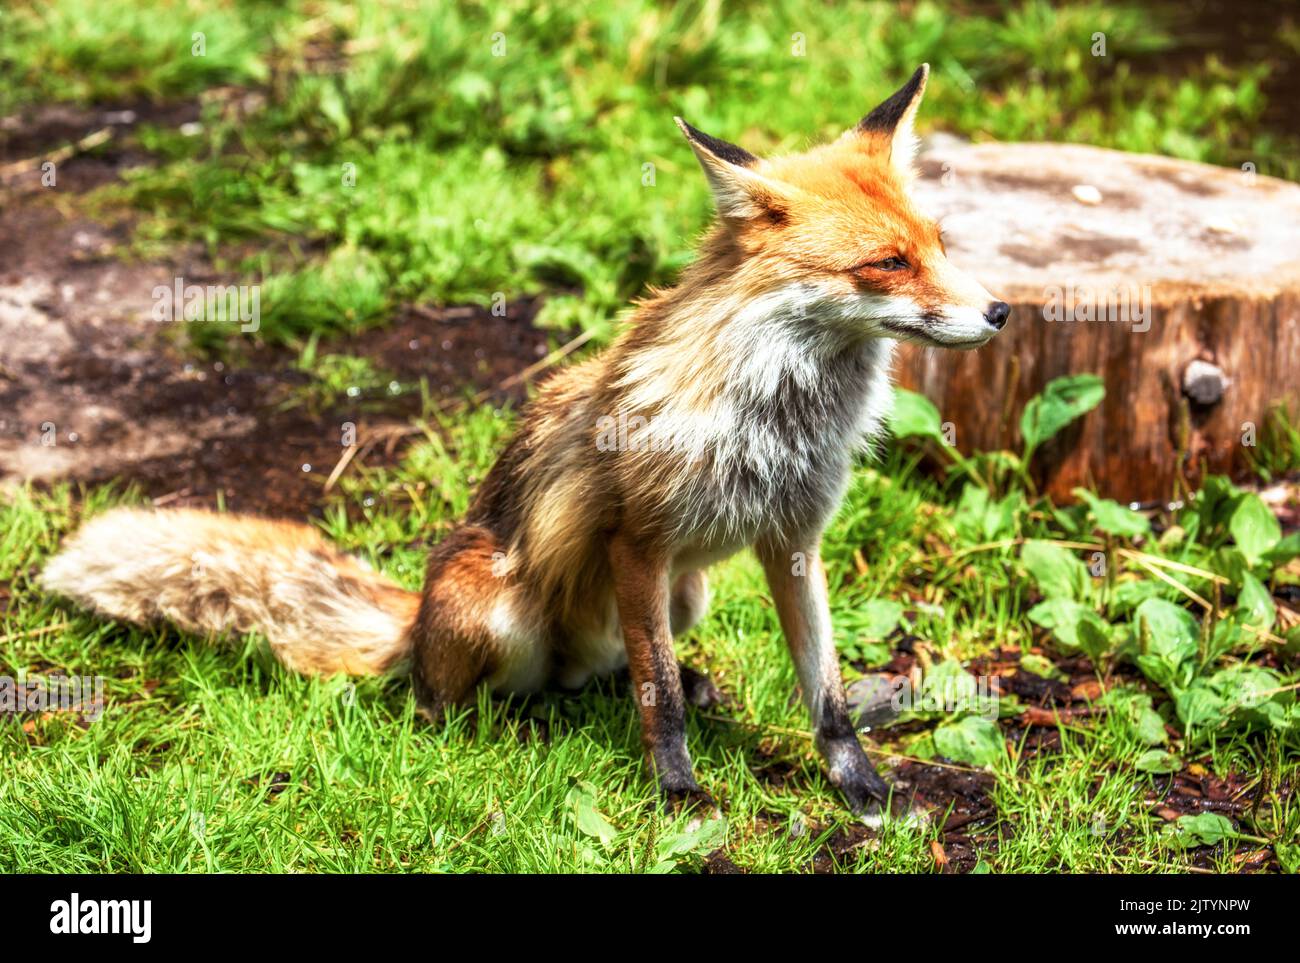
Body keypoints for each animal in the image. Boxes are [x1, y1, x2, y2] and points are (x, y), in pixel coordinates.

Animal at [41, 65, 1008, 812]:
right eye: (885, 263)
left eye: (937, 243)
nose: (999, 311)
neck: (776, 415)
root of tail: (415, 618)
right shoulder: (637, 540)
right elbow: (660, 700)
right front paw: (680, 793)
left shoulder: (795, 540)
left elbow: (826, 694)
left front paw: (861, 786)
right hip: (505, 610)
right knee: (451, 706)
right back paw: (515, 725)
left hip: (689, 592)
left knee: (607, 669)